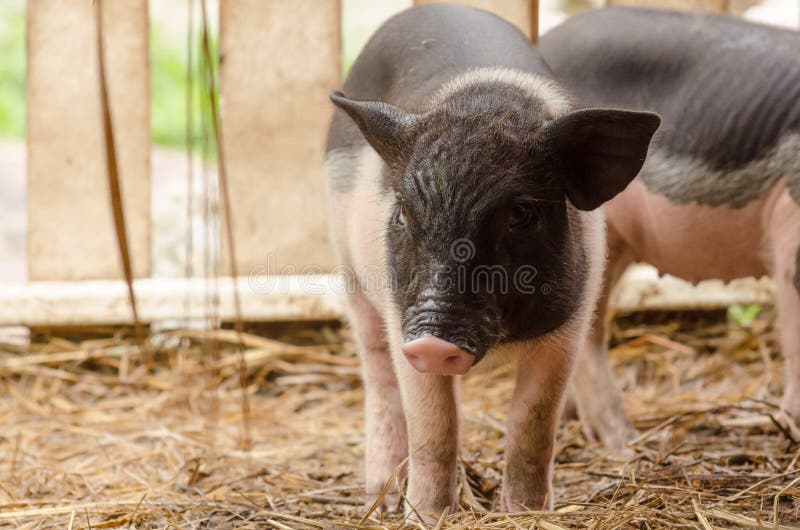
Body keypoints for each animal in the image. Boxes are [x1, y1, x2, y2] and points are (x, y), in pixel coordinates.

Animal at [324, 4, 660, 518]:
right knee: (378, 376)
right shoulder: (402, 318)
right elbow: (435, 423)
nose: (433, 342)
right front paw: (427, 517)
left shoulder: (570, 323)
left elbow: (532, 422)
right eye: (401, 212)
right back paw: (380, 502)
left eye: (520, 214)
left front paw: (527, 513)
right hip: (352, 278)